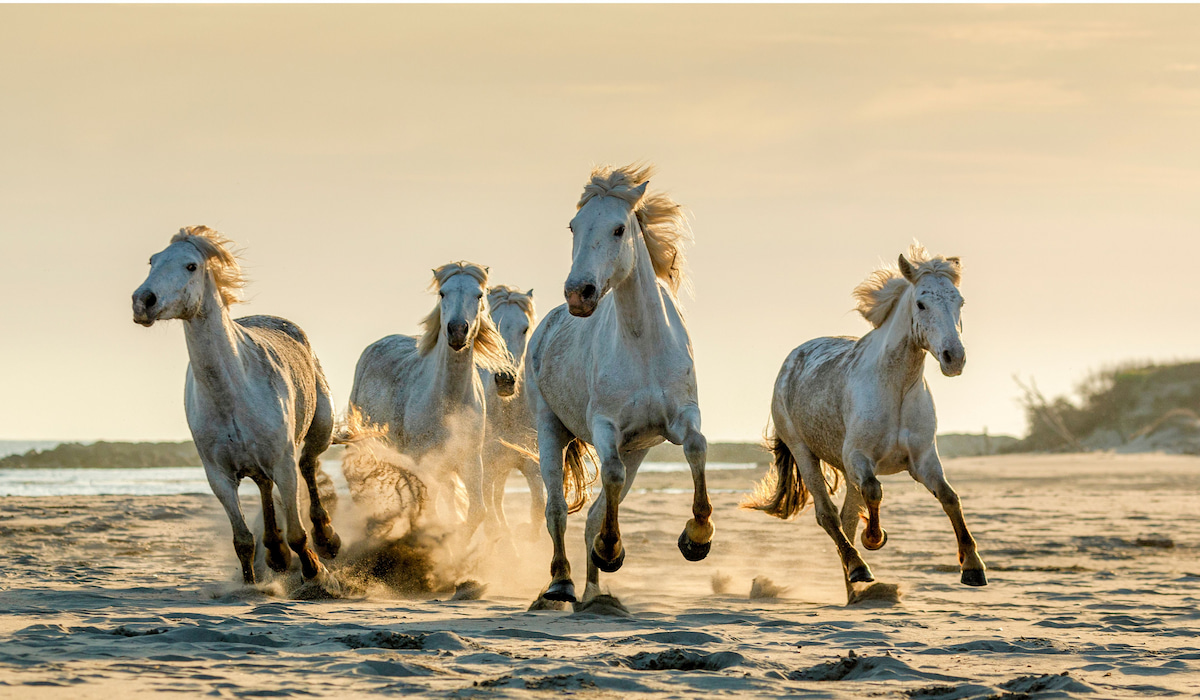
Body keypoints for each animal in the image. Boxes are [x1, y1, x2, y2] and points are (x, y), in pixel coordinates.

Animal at [131, 226, 341, 585]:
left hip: (319, 431)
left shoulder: (283, 463)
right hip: (257, 463)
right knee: (265, 486)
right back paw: (276, 554)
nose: (143, 301)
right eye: (152, 261)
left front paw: (316, 571)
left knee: (308, 467)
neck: (231, 395)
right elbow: (242, 540)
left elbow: (298, 532)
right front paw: (251, 584)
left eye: (191, 266)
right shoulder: (219, 476)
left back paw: (327, 540)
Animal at [348, 262, 515, 542]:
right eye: (442, 293)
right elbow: (430, 513)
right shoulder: (424, 463)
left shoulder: (470, 461)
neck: (448, 401)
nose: (457, 331)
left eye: (479, 295)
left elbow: (475, 512)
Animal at [479, 286, 545, 541]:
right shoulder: (486, 468)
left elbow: (538, 509)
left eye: (525, 328)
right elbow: (491, 521)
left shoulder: (532, 465)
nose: (505, 379)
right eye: (492, 325)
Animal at [525, 163, 715, 604]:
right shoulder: (606, 427)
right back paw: (562, 583)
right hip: (549, 428)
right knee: (556, 509)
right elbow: (608, 474)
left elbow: (697, 448)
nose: (579, 294)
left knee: (594, 512)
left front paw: (697, 539)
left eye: (618, 229)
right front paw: (612, 551)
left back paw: (595, 594)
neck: (643, 344)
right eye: (574, 226)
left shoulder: (682, 418)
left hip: (637, 451)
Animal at [743, 244, 987, 604]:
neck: (896, 388)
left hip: (845, 469)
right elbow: (874, 490)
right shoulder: (859, 457)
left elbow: (949, 497)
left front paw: (973, 567)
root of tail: (793, 357)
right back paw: (859, 568)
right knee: (828, 515)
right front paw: (875, 538)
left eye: (960, 301)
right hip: (806, 453)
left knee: (845, 518)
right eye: (921, 303)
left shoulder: (923, 459)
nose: (953, 357)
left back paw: (854, 591)